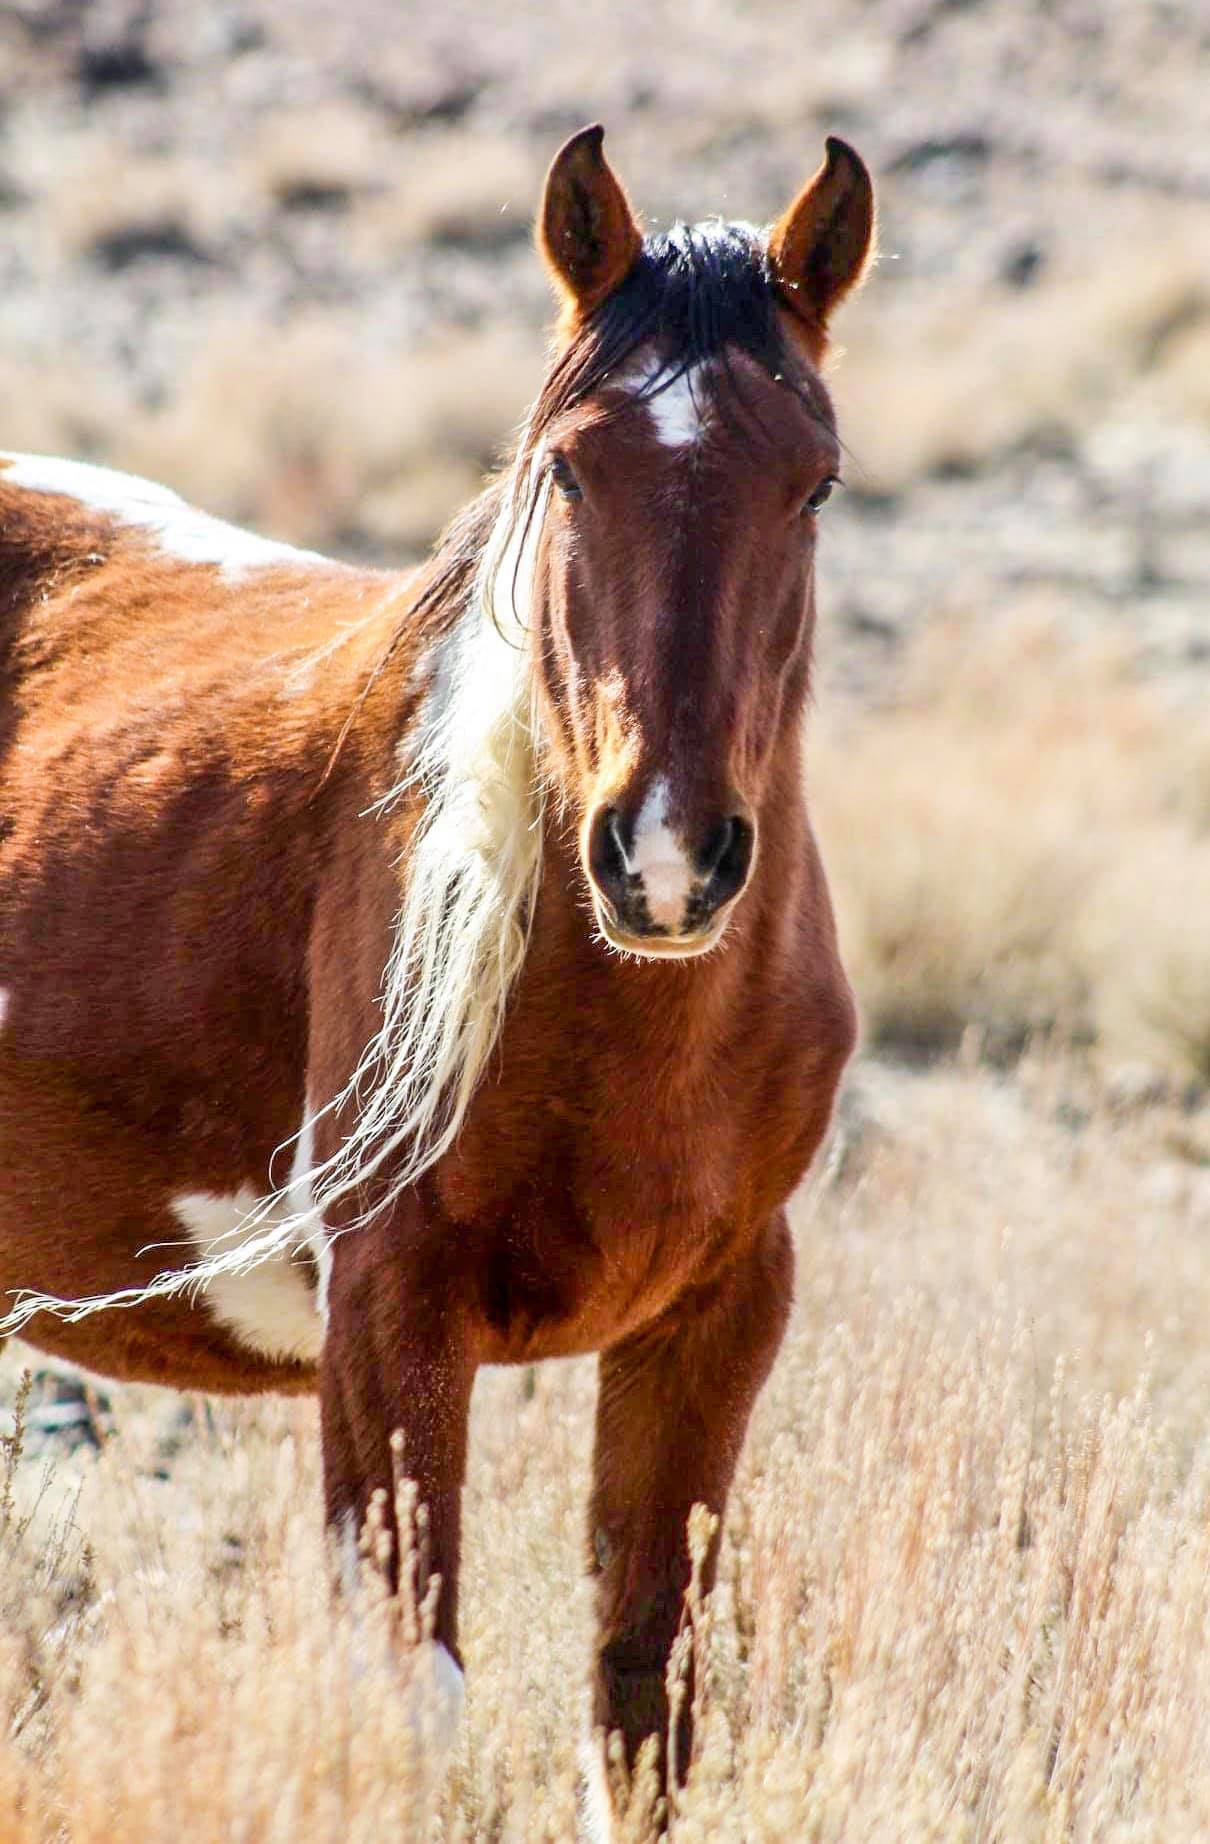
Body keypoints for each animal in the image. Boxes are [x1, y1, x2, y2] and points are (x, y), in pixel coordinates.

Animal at [0, 125, 873, 1835]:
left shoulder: (716, 1317)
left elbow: (642, 1698)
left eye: (812, 481)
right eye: (569, 468)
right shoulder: (389, 1320)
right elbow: (416, 1697)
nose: (664, 857)